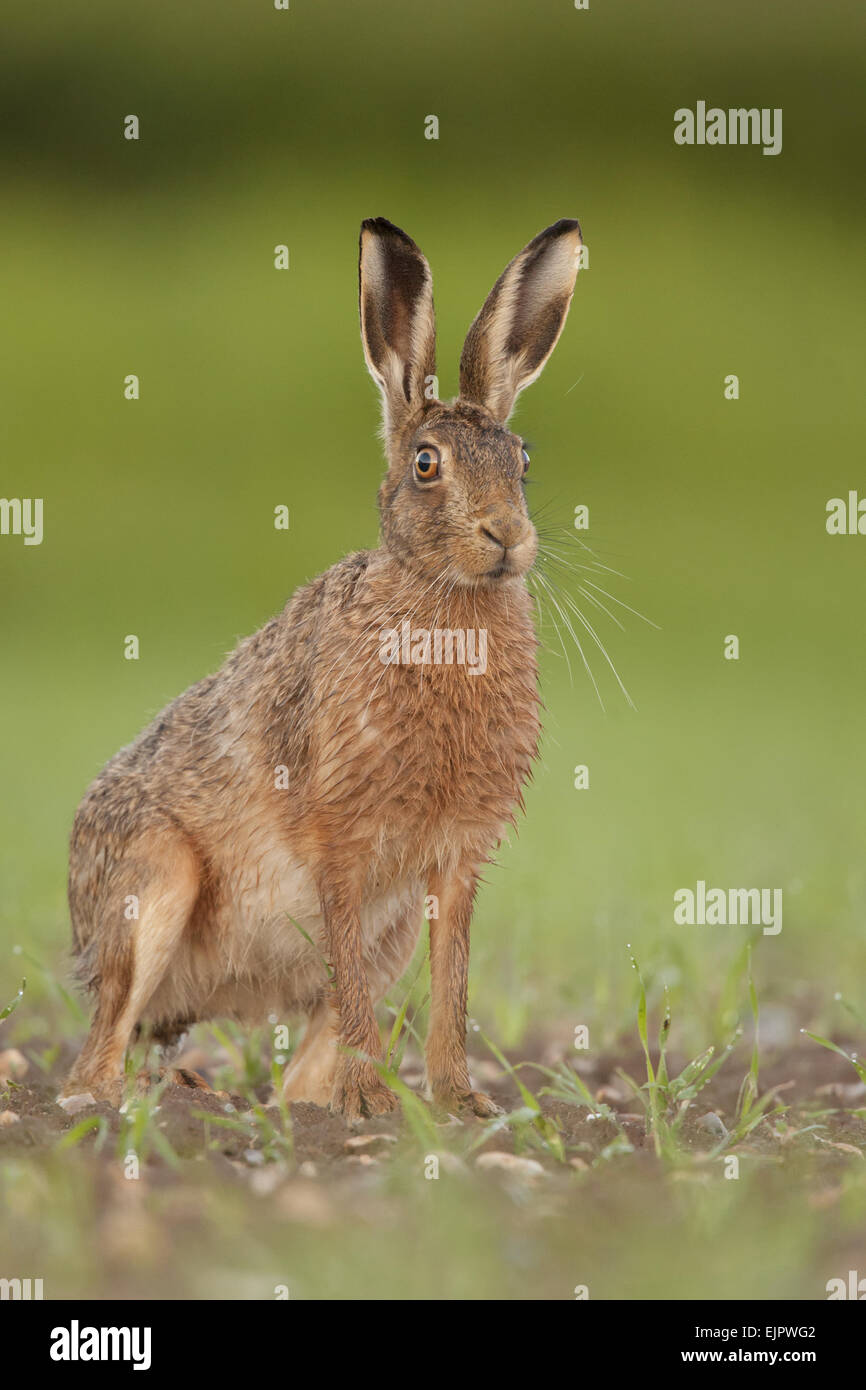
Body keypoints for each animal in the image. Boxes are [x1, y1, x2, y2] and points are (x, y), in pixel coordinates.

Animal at [64, 216, 583, 1119]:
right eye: (426, 464)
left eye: (523, 459)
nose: (506, 536)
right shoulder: (340, 833)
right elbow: (353, 967)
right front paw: (375, 1104)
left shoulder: (455, 860)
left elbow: (452, 985)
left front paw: (458, 1103)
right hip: (153, 882)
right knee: (94, 1062)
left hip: (390, 932)